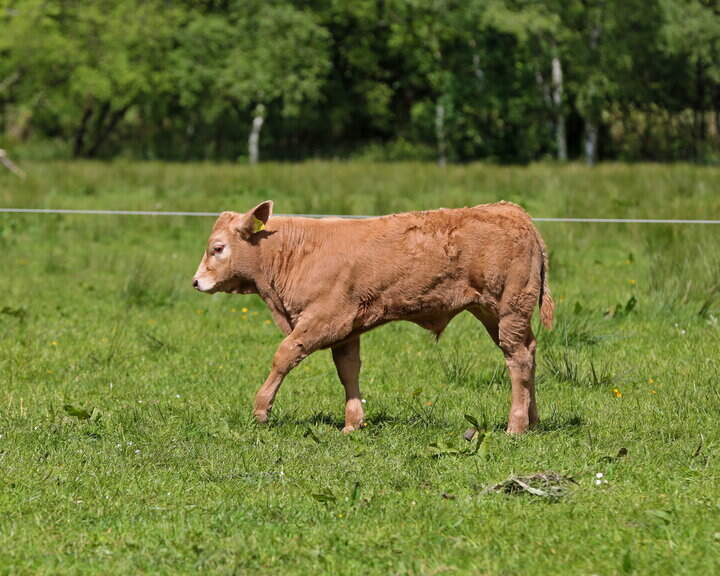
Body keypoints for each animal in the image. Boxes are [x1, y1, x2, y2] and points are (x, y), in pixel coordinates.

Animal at [193, 200, 554, 434]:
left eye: (218, 248)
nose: (196, 282)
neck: (295, 252)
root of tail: (512, 211)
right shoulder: (347, 330)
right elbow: (348, 371)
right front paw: (353, 422)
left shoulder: (323, 319)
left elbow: (284, 355)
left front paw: (261, 410)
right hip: (495, 313)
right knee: (529, 352)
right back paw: (533, 419)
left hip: (507, 309)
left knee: (518, 359)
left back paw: (516, 425)